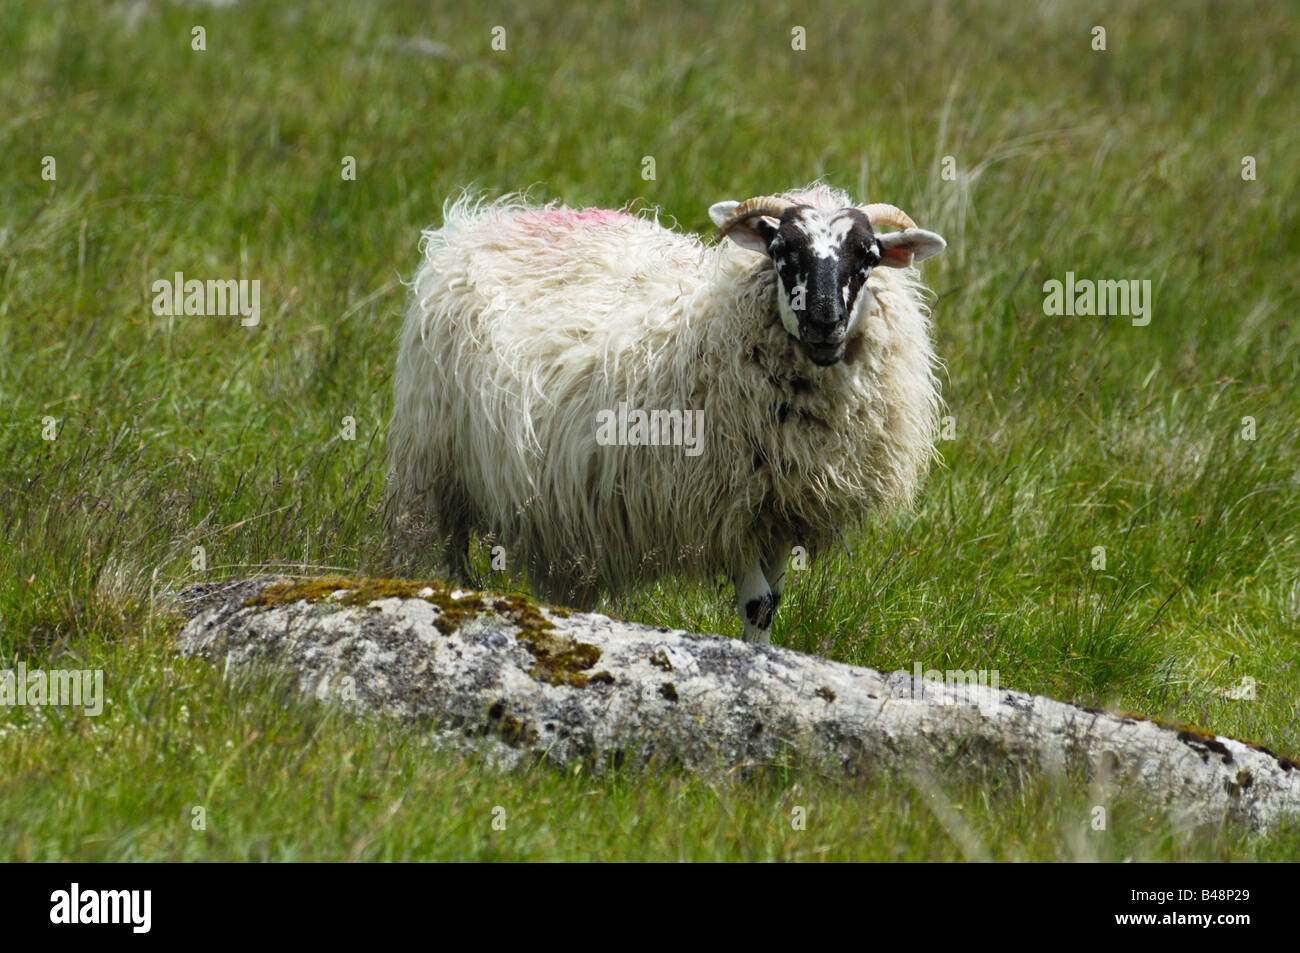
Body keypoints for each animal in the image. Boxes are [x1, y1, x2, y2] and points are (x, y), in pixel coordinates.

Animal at [385, 184, 946, 643]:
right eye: (781, 252)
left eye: (869, 256)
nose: (825, 323)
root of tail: (488, 218)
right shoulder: (721, 504)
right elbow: (757, 601)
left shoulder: (779, 512)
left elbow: (770, 606)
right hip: (440, 467)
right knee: (454, 556)